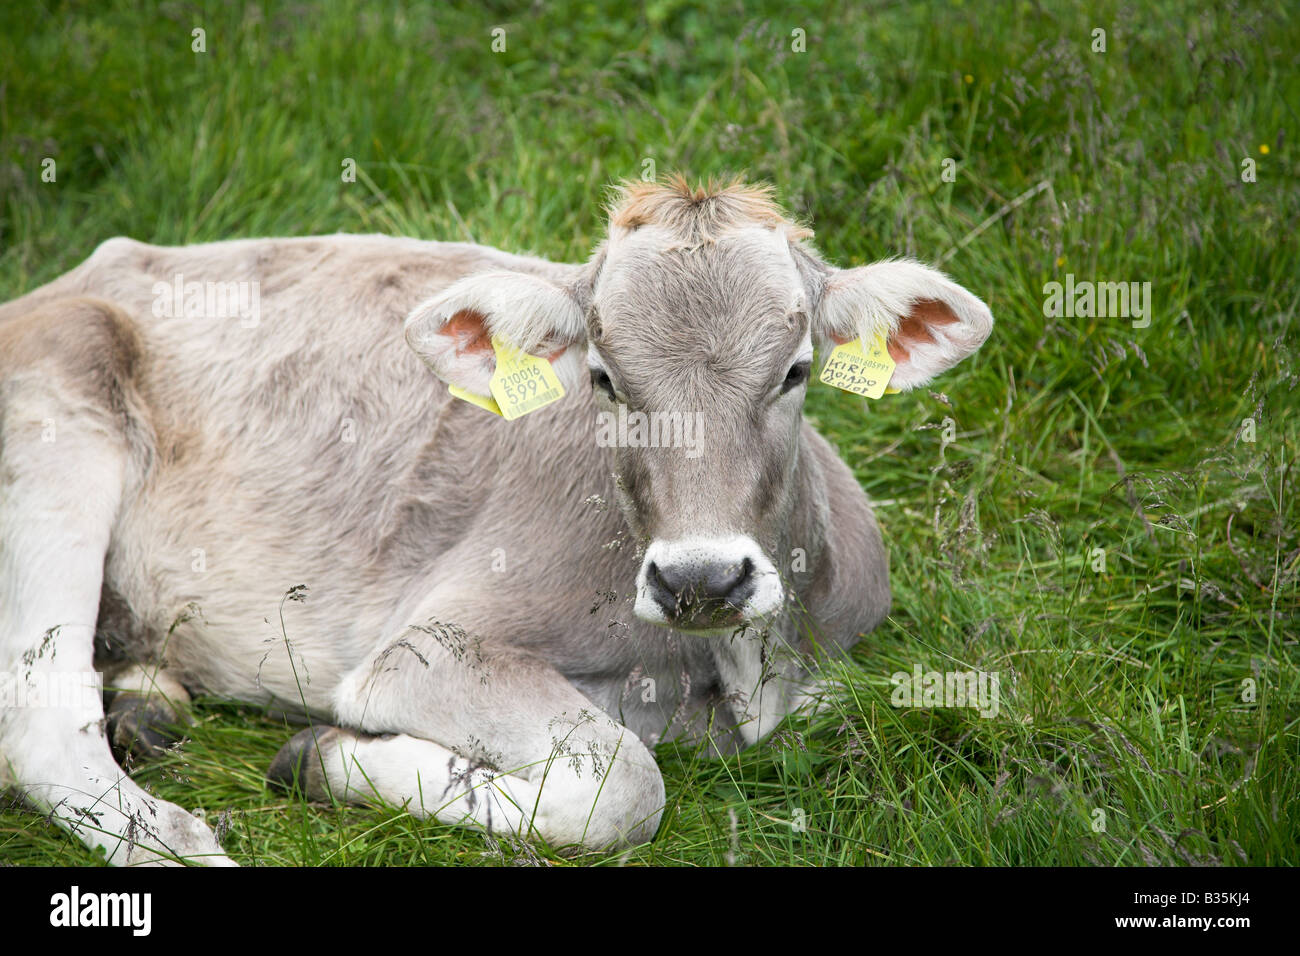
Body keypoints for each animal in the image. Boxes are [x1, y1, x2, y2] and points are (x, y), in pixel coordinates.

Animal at [0, 176, 992, 865]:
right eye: (604, 378)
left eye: (794, 370)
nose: (701, 579)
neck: (732, 670)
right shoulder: (427, 650)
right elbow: (624, 784)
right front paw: (322, 758)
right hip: (56, 431)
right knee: (42, 724)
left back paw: (147, 707)